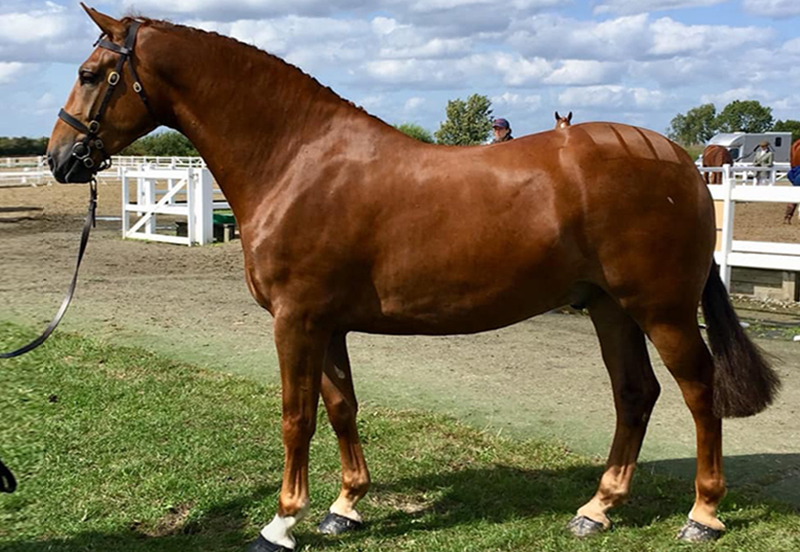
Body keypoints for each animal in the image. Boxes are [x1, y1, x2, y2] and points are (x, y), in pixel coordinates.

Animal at [47, 7, 780, 551]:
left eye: (91, 73)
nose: (59, 159)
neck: (298, 159)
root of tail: (681, 162)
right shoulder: (326, 323)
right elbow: (341, 407)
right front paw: (344, 507)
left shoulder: (296, 320)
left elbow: (295, 416)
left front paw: (281, 522)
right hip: (609, 308)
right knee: (635, 395)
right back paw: (597, 507)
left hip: (662, 310)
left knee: (699, 392)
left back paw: (702, 515)